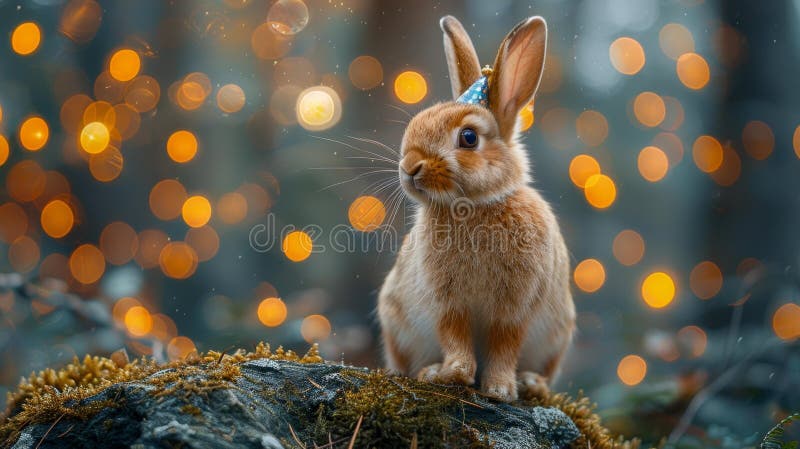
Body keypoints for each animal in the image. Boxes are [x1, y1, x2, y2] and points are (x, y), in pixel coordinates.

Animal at [377, 15, 575, 403]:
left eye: (468, 138)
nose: (409, 167)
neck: (474, 206)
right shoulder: (447, 300)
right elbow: (454, 335)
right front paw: (452, 374)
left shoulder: (515, 306)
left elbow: (504, 344)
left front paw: (499, 389)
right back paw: (427, 370)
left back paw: (532, 383)